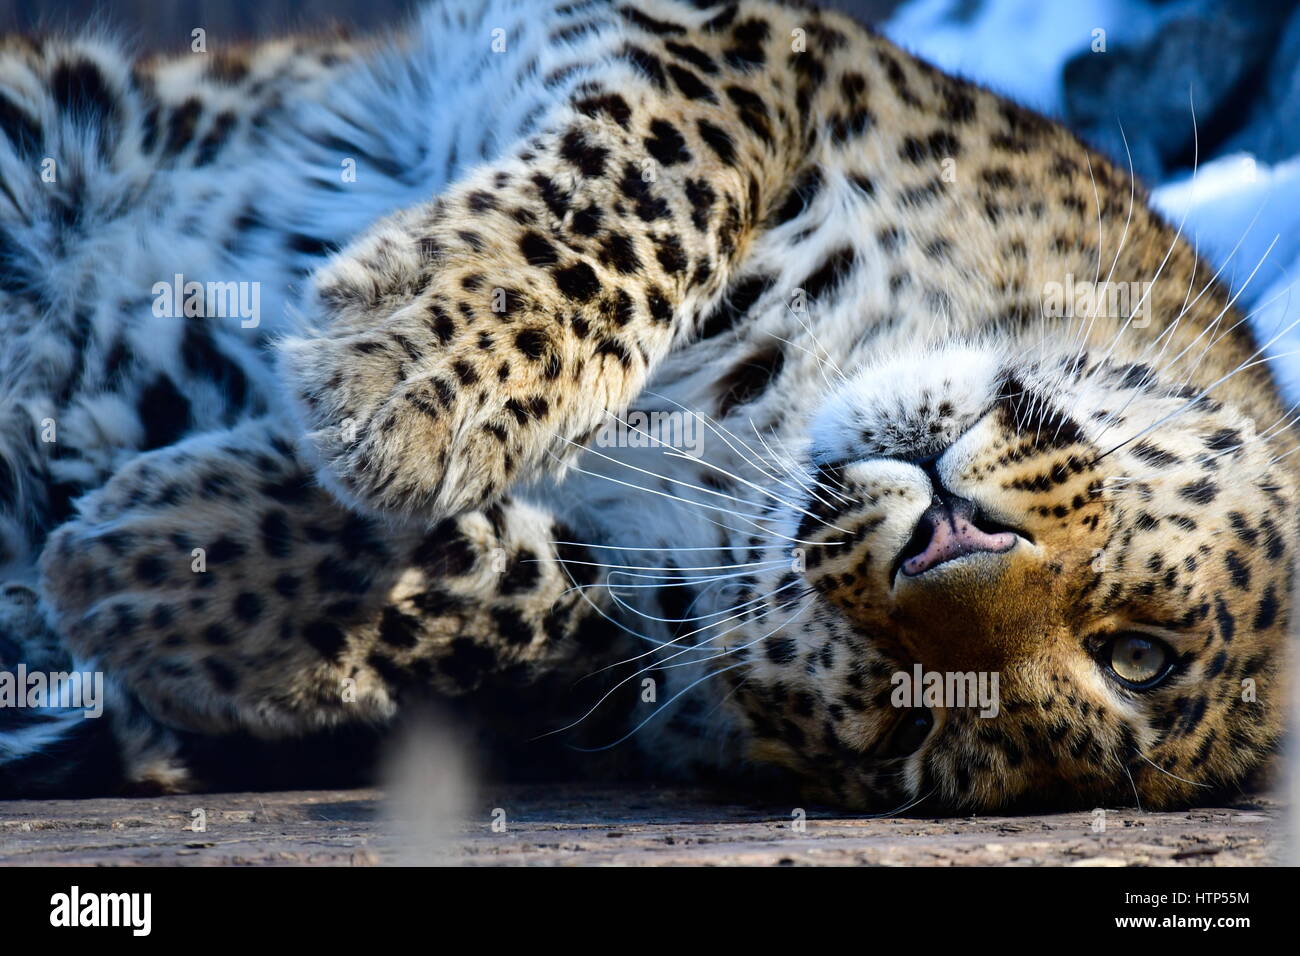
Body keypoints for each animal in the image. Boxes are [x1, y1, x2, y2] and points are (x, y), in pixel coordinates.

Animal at [0, 0, 1293, 814]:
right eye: (1140, 653)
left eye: (913, 726)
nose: (942, 539)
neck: (749, 424)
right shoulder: (741, 42)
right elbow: (675, 161)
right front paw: (400, 373)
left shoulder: (630, 644)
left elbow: (548, 595)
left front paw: (156, 566)